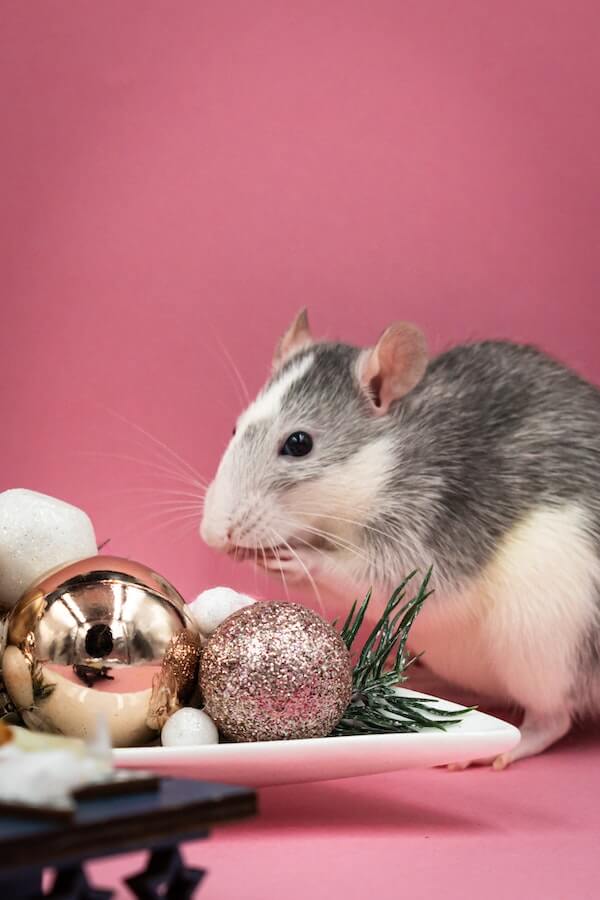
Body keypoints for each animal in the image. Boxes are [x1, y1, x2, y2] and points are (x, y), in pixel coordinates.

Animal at [201, 309, 600, 767]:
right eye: (235, 429)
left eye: (298, 443)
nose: (214, 533)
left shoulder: (430, 513)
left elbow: (389, 574)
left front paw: (303, 560)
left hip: (549, 640)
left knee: (555, 717)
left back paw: (514, 742)